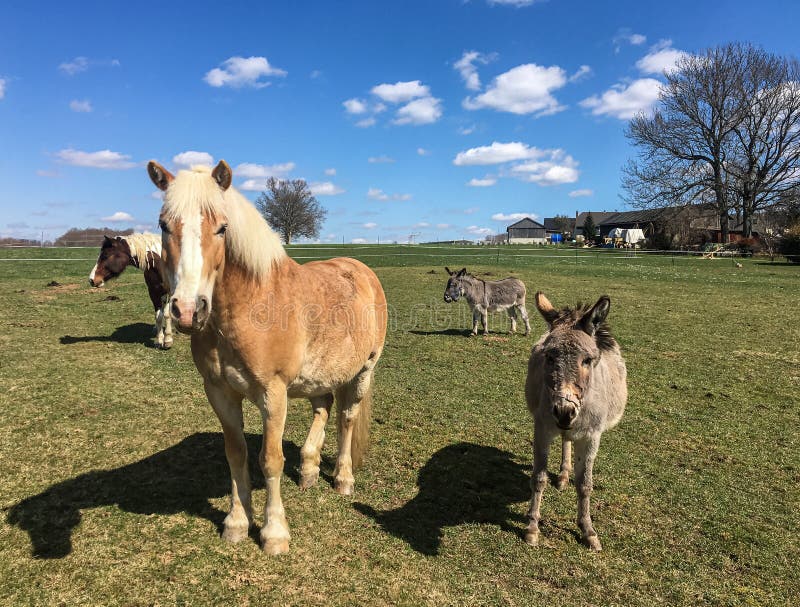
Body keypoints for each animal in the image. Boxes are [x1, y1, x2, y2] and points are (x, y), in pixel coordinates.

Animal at [147, 160, 388, 555]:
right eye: (164, 225)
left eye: (222, 228)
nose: (187, 310)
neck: (250, 306)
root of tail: (362, 270)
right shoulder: (220, 392)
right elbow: (236, 454)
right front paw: (236, 522)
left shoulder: (273, 394)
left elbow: (270, 459)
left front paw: (274, 532)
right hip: (317, 376)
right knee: (323, 407)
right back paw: (308, 468)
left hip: (362, 372)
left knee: (347, 419)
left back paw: (342, 477)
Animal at [524, 292, 627, 551]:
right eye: (549, 356)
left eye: (588, 360)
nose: (564, 411)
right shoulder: (542, 429)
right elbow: (538, 478)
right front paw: (532, 528)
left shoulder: (591, 437)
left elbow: (585, 484)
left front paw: (588, 531)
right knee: (565, 439)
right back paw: (562, 474)